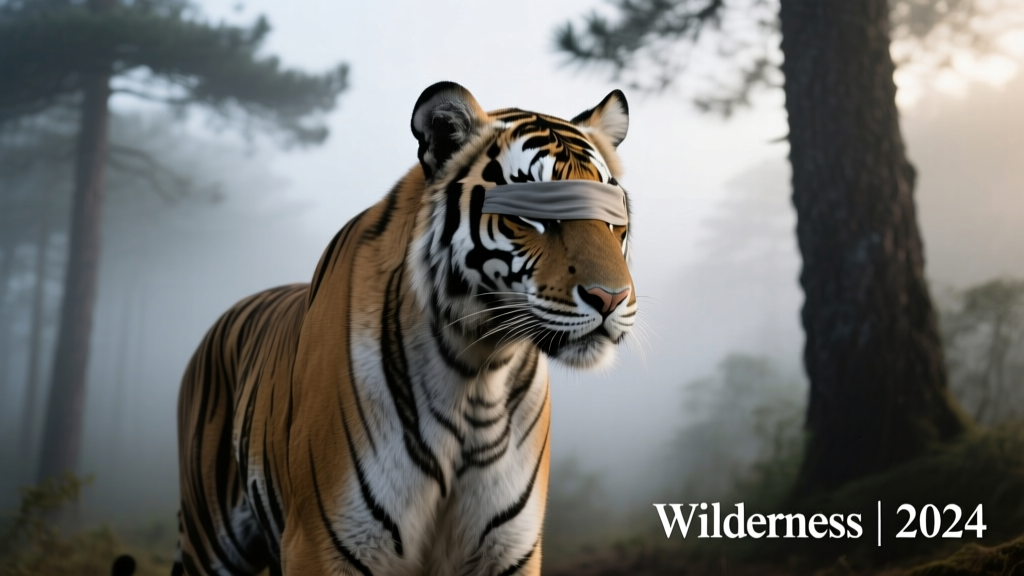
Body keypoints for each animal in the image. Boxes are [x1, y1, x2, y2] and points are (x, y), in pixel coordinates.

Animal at [167, 81, 637, 576]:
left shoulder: (508, 550)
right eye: (531, 214)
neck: (478, 374)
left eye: (613, 216)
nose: (611, 298)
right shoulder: (321, 543)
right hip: (209, 538)